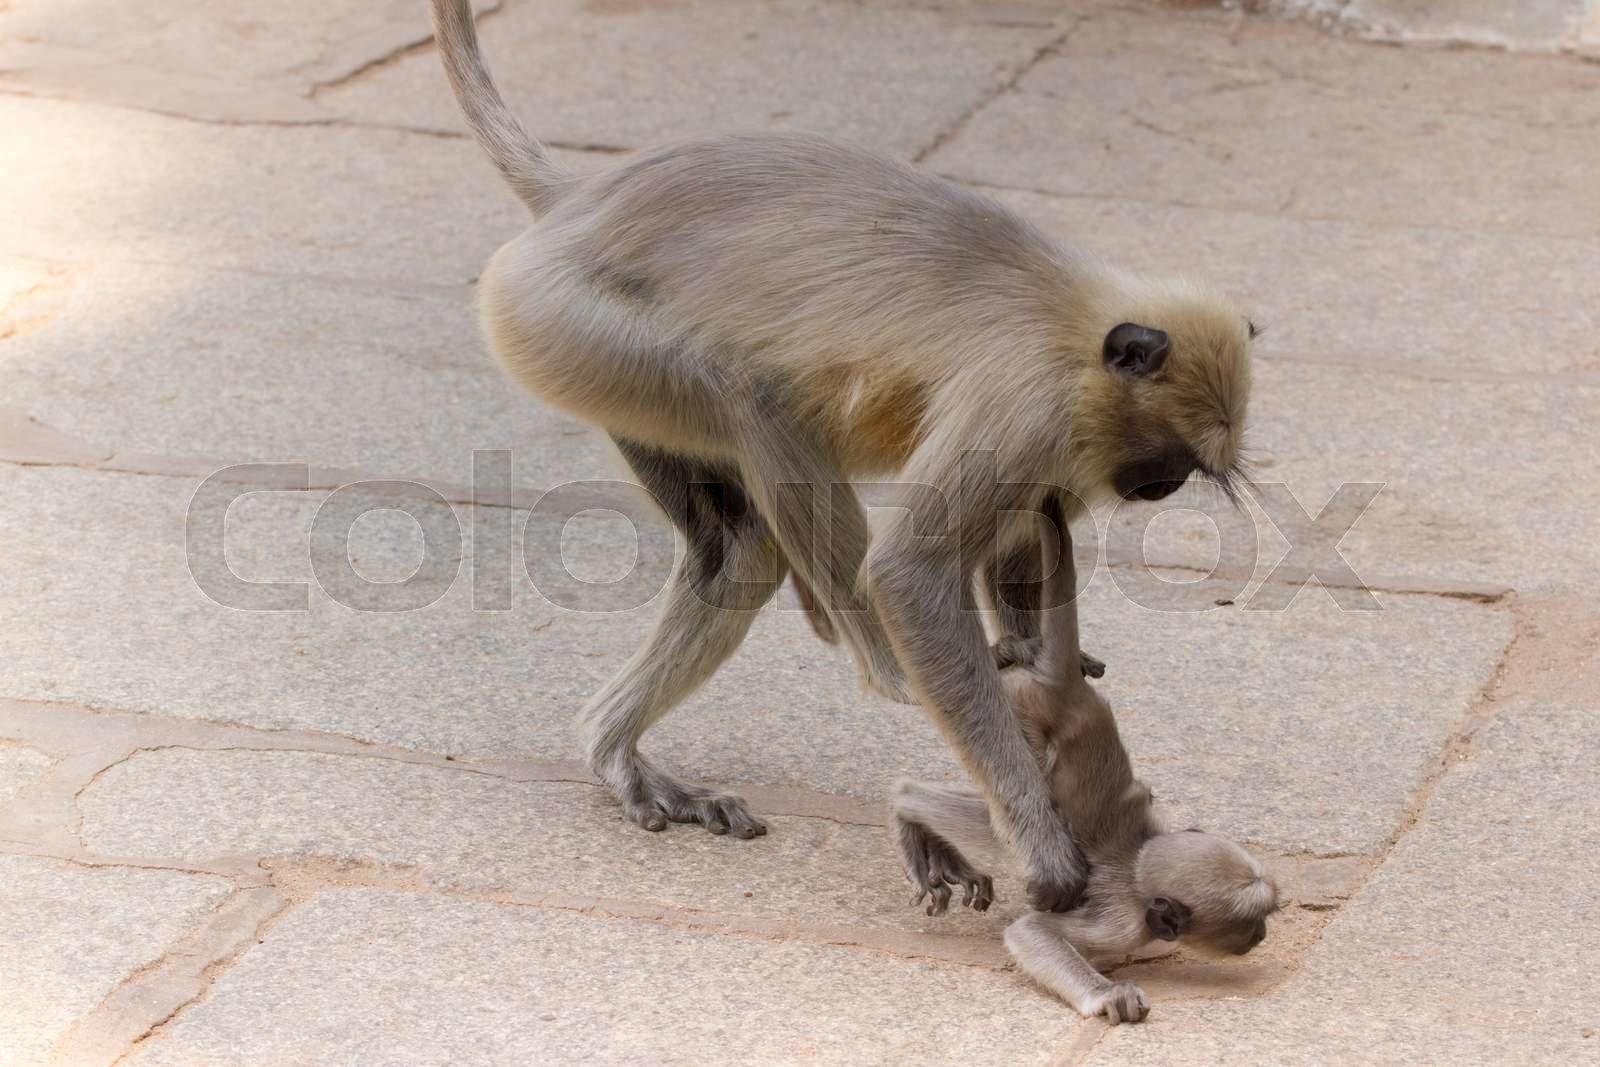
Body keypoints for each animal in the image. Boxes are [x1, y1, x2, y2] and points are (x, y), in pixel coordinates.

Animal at [430, 0, 1253, 910]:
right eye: (1172, 455)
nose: (1164, 484)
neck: (1072, 320)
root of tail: (580, 199)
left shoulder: (1061, 434)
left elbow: (1015, 544)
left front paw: (1036, 662)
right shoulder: (1029, 403)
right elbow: (911, 573)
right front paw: (1035, 830)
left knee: (736, 551)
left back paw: (618, 748)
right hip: (567, 321)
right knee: (745, 392)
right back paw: (882, 662)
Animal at [890, 498, 1278, 1023]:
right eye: (1251, 923)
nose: (1261, 935)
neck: (1138, 865)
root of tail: (1065, 688)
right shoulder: (1122, 920)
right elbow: (1030, 931)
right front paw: (1109, 994)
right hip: (1019, 711)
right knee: (1009, 820)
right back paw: (908, 804)